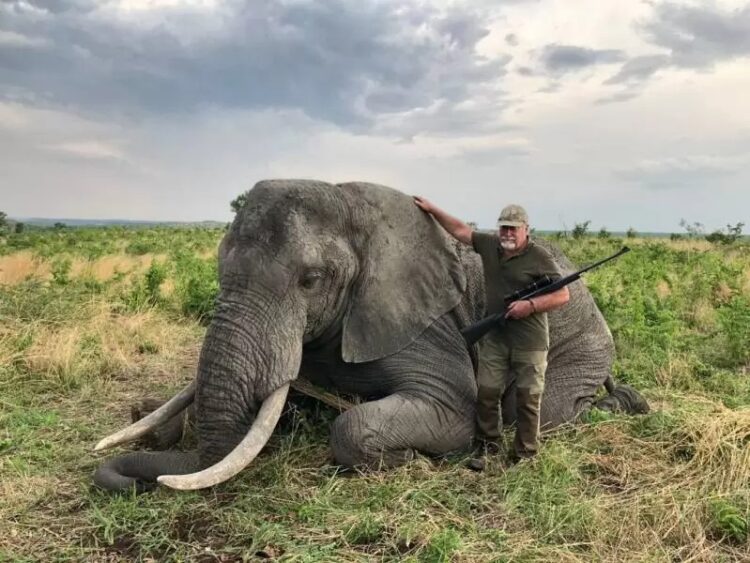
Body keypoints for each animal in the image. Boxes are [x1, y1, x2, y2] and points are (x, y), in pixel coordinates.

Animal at [93, 179, 648, 492]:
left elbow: (439, 411)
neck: (348, 204)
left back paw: (620, 404)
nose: (142, 484)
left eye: (311, 280)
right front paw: (148, 415)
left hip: (584, 342)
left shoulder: (418, 321)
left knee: (547, 410)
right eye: (218, 266)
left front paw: (409, 459)